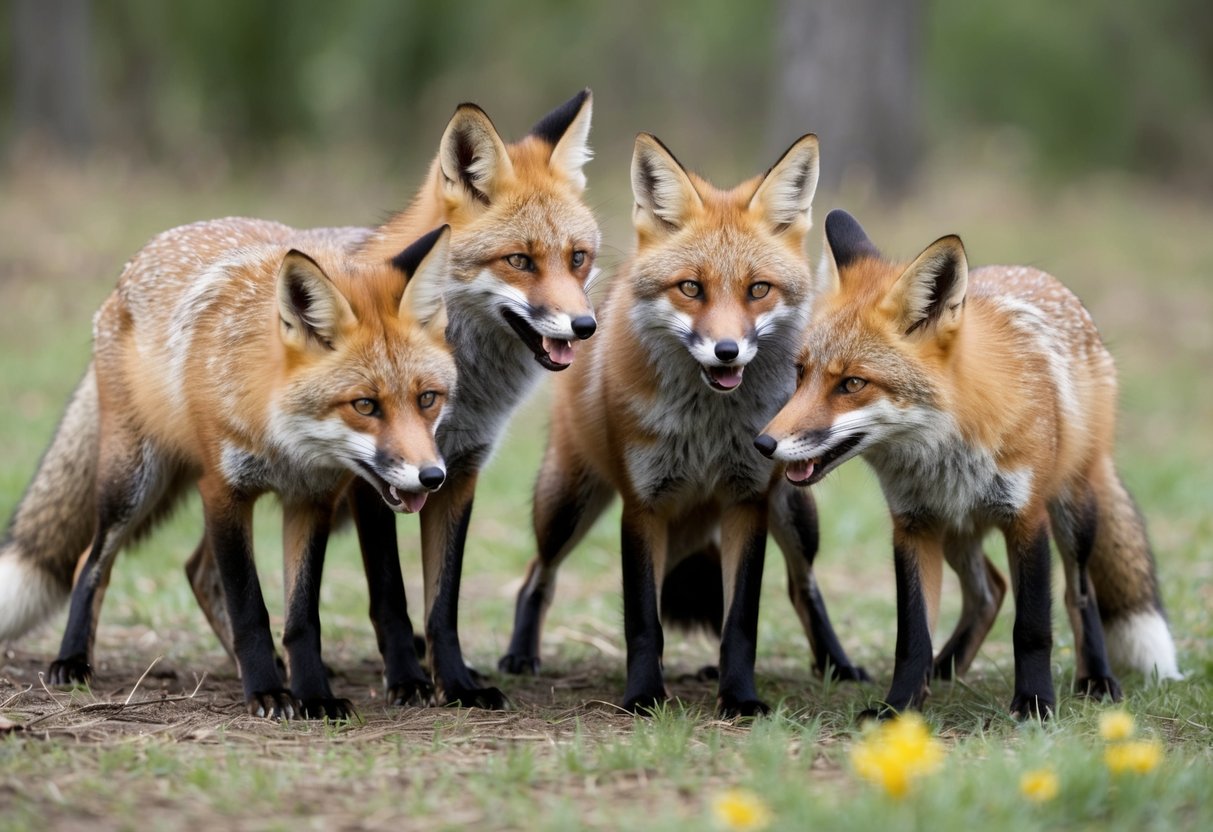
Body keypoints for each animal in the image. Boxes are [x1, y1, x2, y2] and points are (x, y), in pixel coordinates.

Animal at [4, 219, 454, 718]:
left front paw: (312, 694)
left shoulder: (311, 500)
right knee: (90, 562)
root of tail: (133, 265)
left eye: (427, 399)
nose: (433, 477)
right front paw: (267, 693)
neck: (284, 444)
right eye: (365, 405)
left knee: (195, 571)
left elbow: (302, 618)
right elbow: (249, 609)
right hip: (132, 482)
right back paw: (72, 660)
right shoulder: (222, 491)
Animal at [497, 132, 866, 716]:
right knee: (537, 575)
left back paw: (834, 664)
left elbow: (741, 620)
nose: (726, 351)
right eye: (690, 288)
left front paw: (739, 697)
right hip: (565, 506)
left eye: (758, 290)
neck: (706, 430)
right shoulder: (643, 504)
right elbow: (643, 620)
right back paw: (520, 654)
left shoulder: (748, 501)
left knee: (801, 586)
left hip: (794, 510)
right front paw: (644, 696)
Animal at [755, 209, 1182, 718]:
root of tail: (1039, 275)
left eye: (852, 384)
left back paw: (1095, 677)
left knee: (1079, 594)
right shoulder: (913, 525)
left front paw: (1034, 703)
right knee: (989, 591)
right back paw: (945, 669)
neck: (946, 451)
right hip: (959, 529)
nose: (763, 443)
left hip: (1073, 512)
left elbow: (1033, 628)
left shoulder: (1026, 519)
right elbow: (912, 636)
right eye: (800, 374)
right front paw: (899, 706)